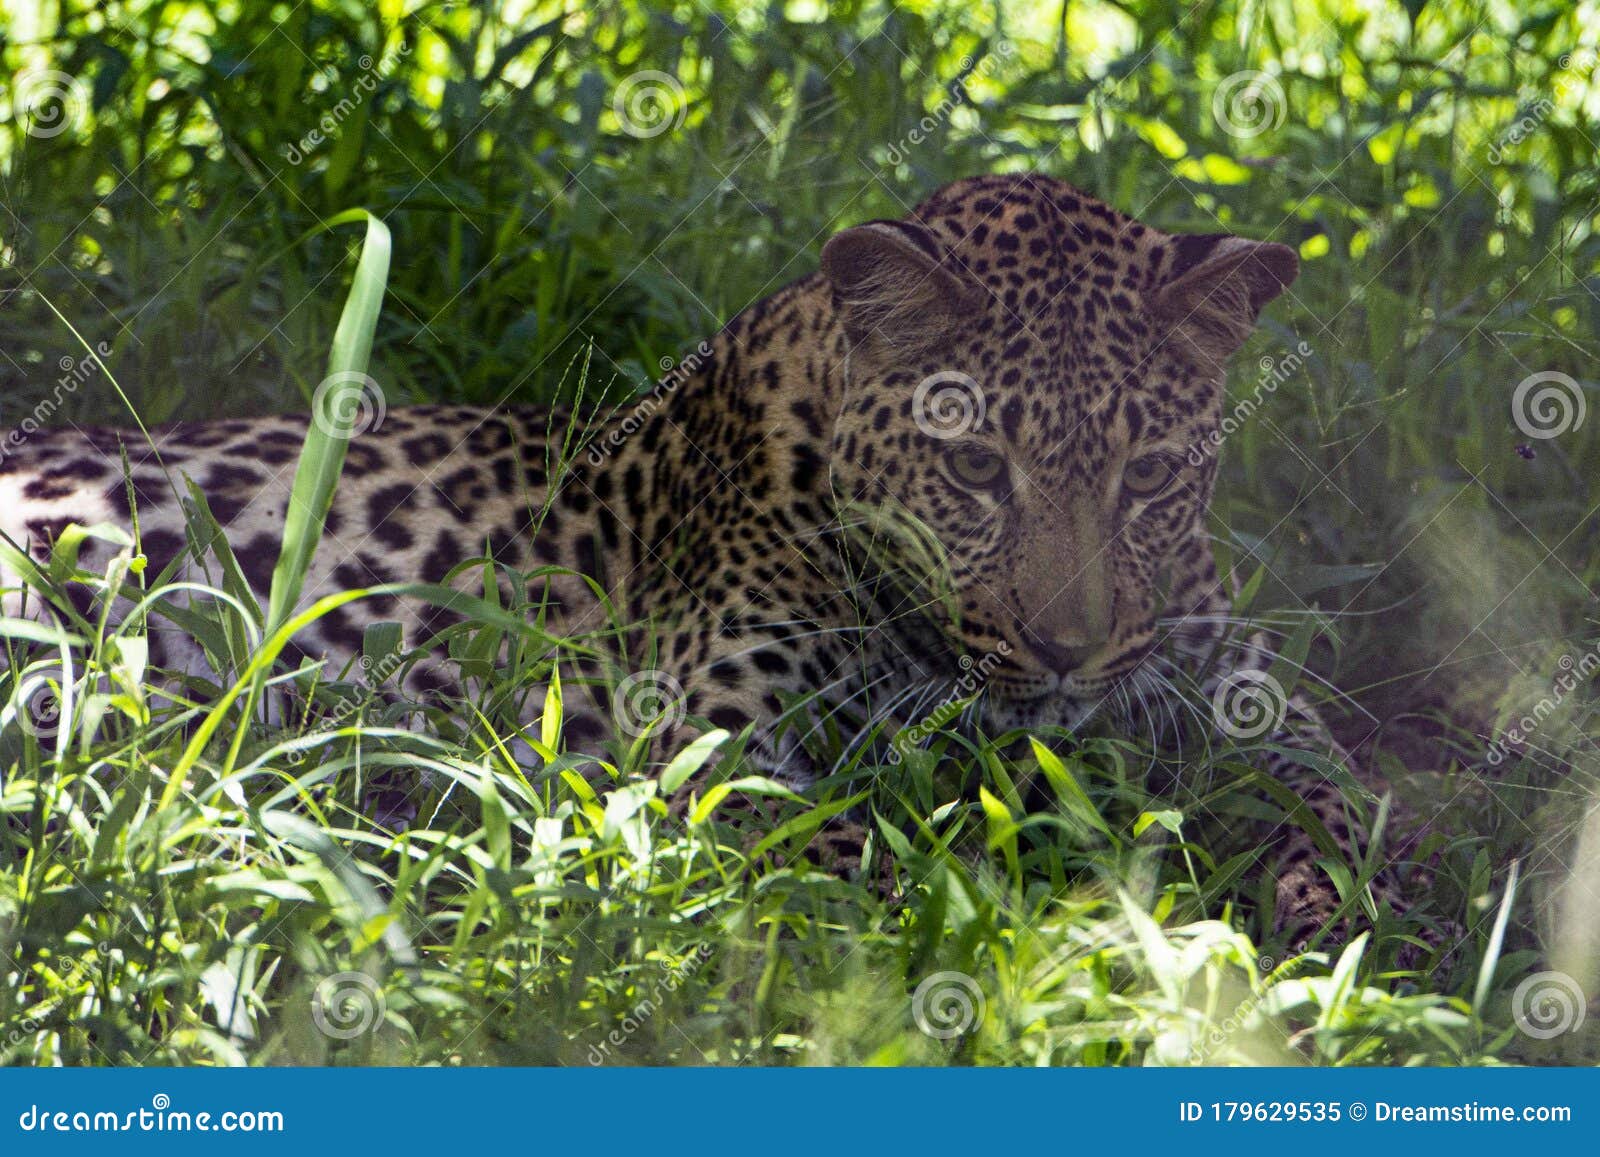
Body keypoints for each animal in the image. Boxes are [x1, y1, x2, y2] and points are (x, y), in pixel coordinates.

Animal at [0, 172, 1419, 947]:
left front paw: (1349, 932)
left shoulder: (1242, 695)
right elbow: (864, 861)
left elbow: (1341, 801)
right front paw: (1058, 934)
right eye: (975, 470)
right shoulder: (710, 730)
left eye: (1149, 478)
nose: (1066, 652)